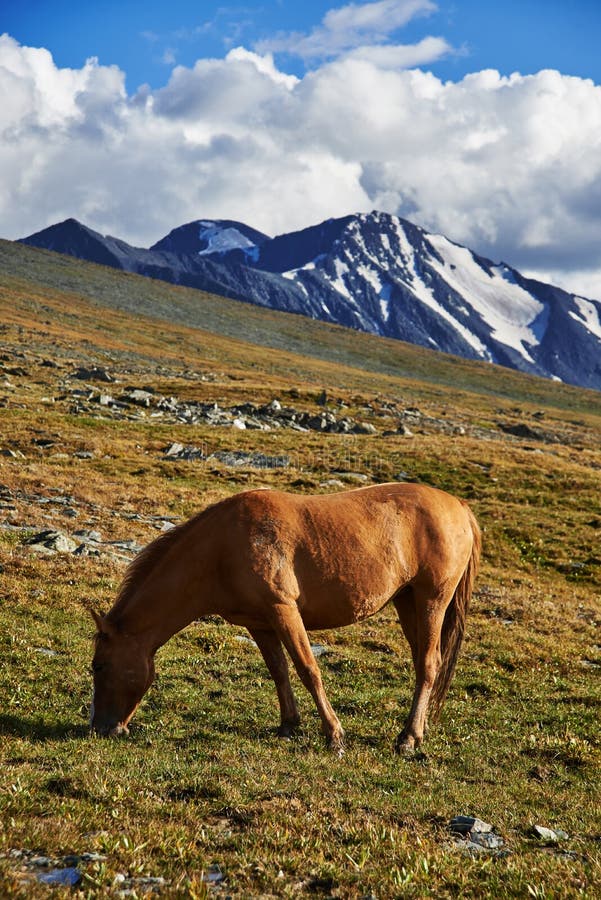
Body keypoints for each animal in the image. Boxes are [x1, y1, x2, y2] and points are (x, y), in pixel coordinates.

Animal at [90, 482, 480, 754]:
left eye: (99, 666)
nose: (100, 728)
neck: (221, 549)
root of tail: (459, 507)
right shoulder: (259, 622)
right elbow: (279, 671)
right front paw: (289, 725)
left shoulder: (284, 609)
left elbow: (308, 669)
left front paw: (334, 735)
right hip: (407, 602)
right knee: (424, 663)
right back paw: (417, 730)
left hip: (432, 600)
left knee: (428, 665)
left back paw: (409, 738)